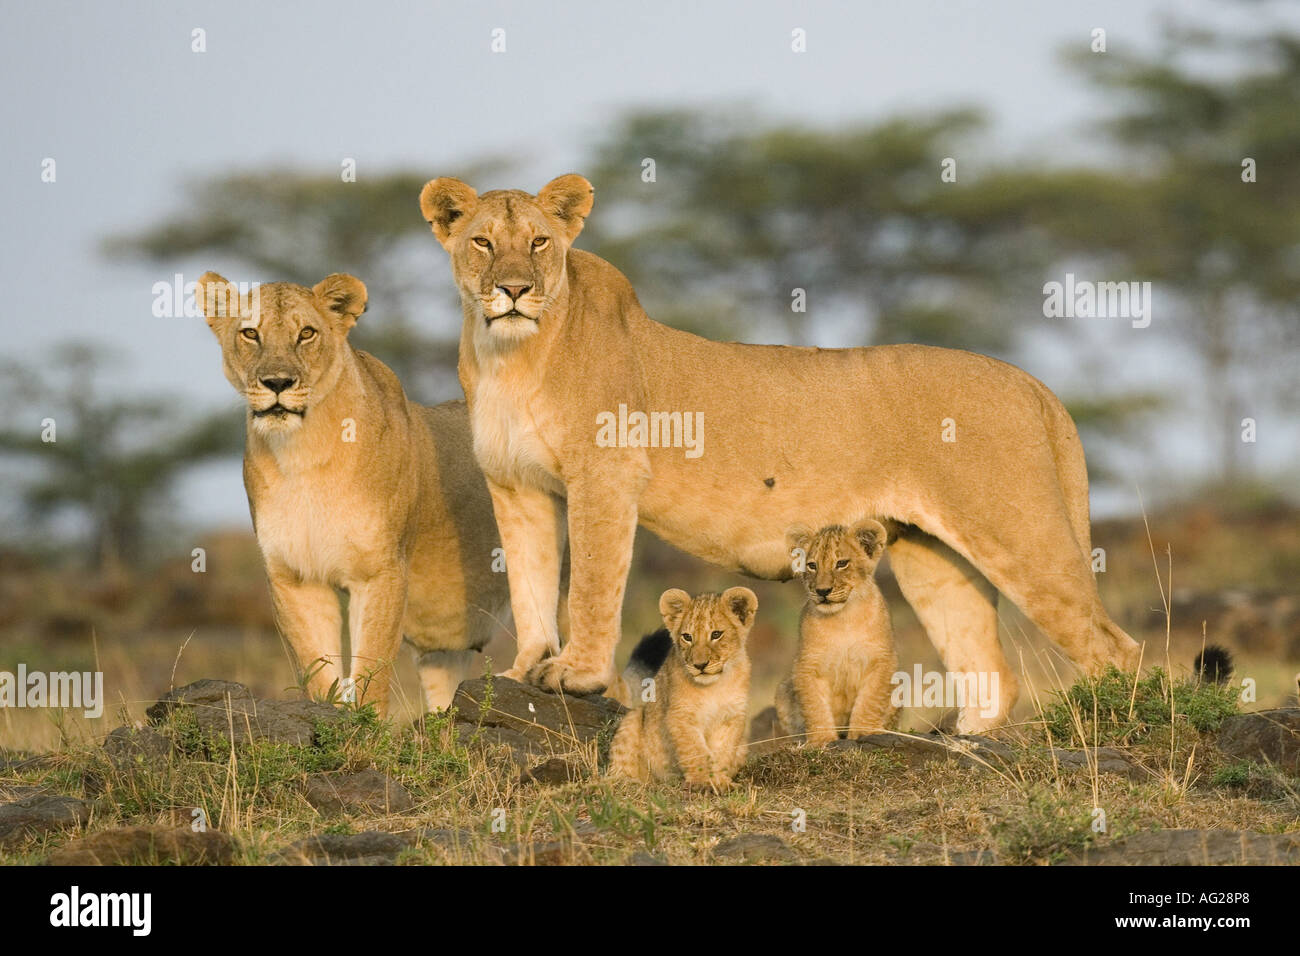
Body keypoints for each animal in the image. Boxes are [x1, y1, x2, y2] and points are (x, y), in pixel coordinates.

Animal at [196, 271, 515, 715]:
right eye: (250, 333)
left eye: (306, 333)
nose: (277, 383)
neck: (302, 454)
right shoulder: (294, 577)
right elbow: (317, 668)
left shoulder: (380, 571)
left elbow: (371, 667)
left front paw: (366, 724)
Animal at [607, 587, 755, 791]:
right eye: (687, 637)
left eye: (716, 634)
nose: (700, 665)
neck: (715, 686)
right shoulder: (681, 715)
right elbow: (695, 750)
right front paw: (704, 781)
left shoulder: (731, 716)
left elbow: (722, 752)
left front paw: (721, 781)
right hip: (633, 719)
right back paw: (632, 782)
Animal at [776, 520, 898, 746]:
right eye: (812, 565)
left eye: (841, 563)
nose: (822, 591)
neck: (843, 619)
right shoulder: (806, 665)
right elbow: (814, 705)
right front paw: (822, 740)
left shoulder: (882, 660)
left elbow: (870, 700)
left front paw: (863, 732)